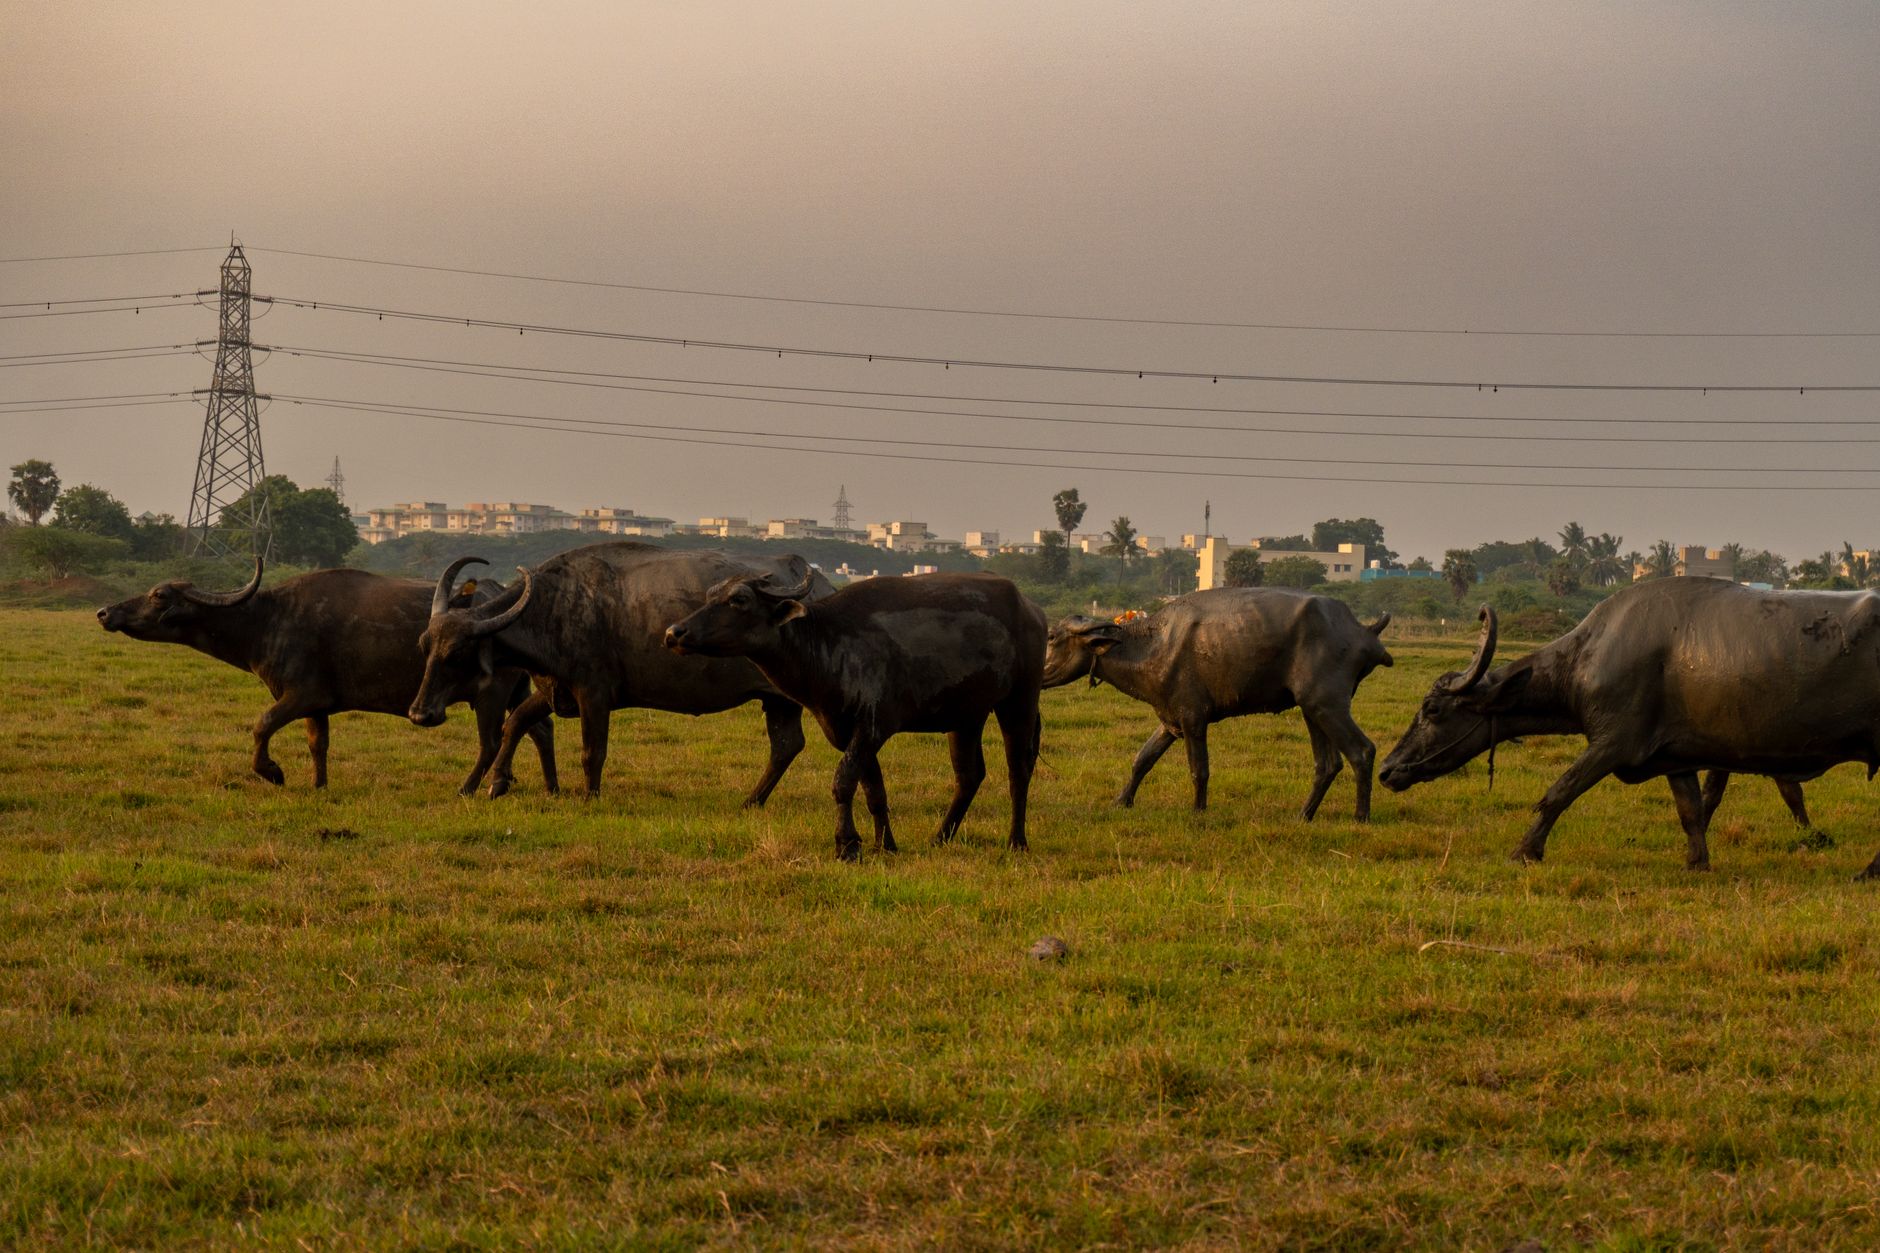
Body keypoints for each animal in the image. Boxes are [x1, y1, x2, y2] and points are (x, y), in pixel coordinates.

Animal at [97, 559, 554, 791]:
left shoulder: (299, 695)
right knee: (537, 727)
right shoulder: (317, 705)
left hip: (490, 694)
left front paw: (273, 772)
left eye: (159, 596)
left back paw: (475, 786)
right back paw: (547, 785)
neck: (268, 619)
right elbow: (318, 744)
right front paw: (319, 785)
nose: (105, 612)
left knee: (494, 739)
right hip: (517, 689)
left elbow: (261, 725)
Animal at [412, 542, 833, 801]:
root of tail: (822, 589)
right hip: (779, 700)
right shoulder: (556, 690)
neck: (555, 607)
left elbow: (592, 751)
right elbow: (515, 722)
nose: (420, 713)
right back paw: (751, 800)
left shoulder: (593, 694)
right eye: (425, 645)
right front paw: (496, 782)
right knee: (786, 746)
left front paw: (589, 797)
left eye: (457, 652)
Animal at [664, 571, 1045, 861]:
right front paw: (885, 845)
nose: (674, 633)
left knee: (1018, 772)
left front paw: (847, 845)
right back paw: (940, 837)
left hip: (1019, 701)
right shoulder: (849, 731)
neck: (827, 645)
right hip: (965, 716)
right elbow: (874, 791)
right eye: (710, 595)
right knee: (969, 775)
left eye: (739, 599)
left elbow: (843, 781)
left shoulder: (873, 727)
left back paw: (1016, 841)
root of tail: (1031, 609)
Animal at [1042, 589, 1393, 820]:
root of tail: (1363, 632)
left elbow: (1199, 769)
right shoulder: (1170, 720)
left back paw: (1360, 817)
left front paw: (1198, 810)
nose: (1036, 673)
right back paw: (1303, 815)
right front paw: (1121, 801)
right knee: (1328, 764)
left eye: (1051, 637)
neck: (1150, 644)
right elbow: (1142, 760)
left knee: (1362, 751)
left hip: (1328, 704)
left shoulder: (1193, 719)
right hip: (1312, 709)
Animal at [1379, 580, 1880, 877]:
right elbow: (1691, 810)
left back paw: (1868, 871)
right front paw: (1697, 863)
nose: (1387, 769)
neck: (1589, 655)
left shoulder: (1612, 743)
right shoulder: (1676, 756)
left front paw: (1525, 851)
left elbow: (1559, 791)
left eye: (1431, 709)